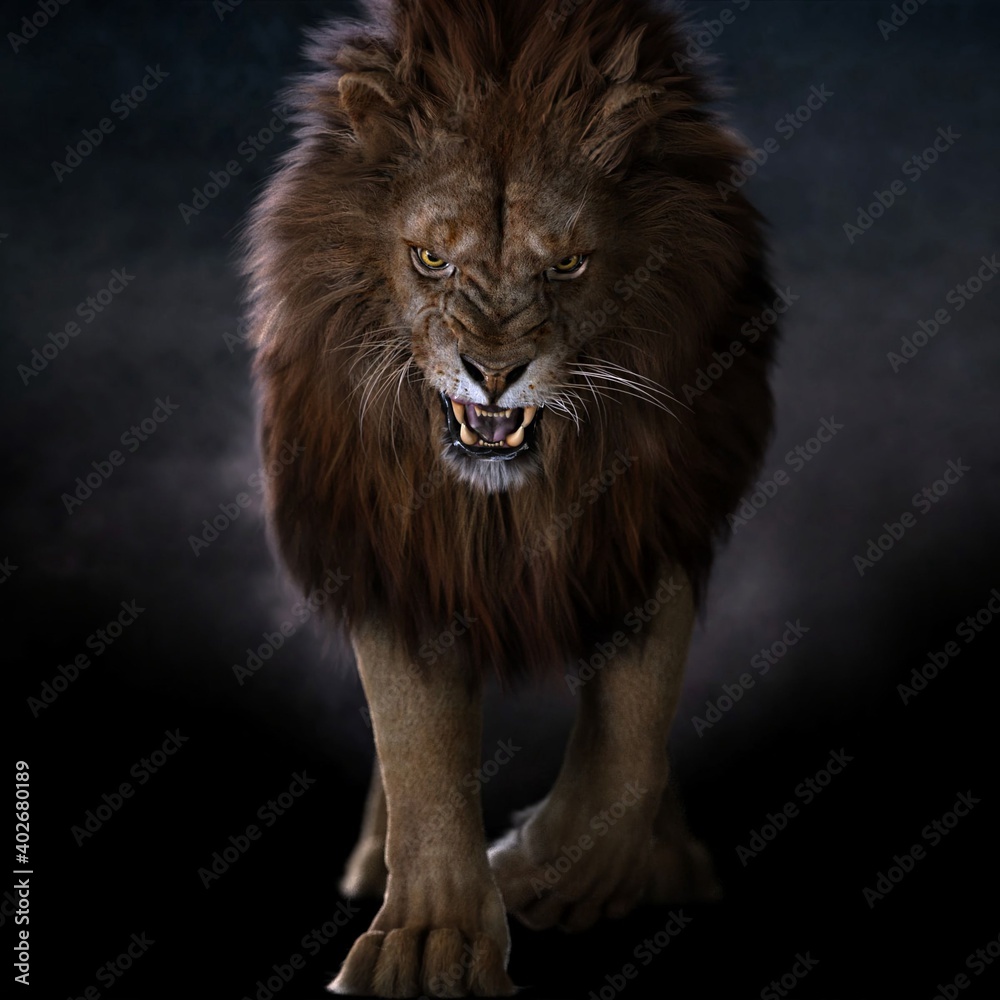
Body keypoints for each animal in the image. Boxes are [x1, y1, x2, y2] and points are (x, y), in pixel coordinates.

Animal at [242, 0, 778, 995]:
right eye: (428, 258)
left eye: (567, 265)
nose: (493, 373)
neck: (506, 499)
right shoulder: (397, 546)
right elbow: (418, 751)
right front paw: (430, 941)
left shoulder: (647, 517)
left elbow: (632, 736)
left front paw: (557, 873)